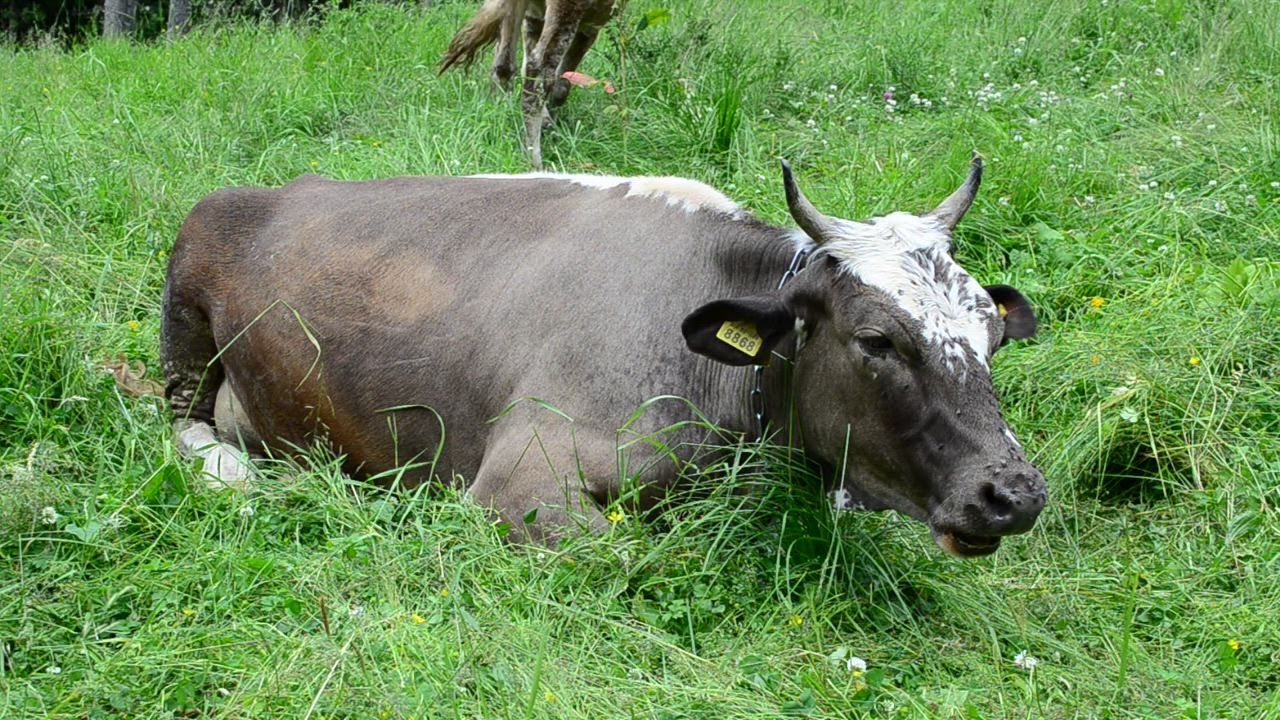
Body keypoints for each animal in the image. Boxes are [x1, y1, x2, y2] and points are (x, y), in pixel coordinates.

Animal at [161, 156, 1047, 556]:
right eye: (877, 341)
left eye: (992, 334)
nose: (1015, 494)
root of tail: (290, 187)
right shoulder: (519, 479)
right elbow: (630, 554)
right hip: (187, 303)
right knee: (183, 423)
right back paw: (239, 473)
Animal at [438, 0, 616, 168]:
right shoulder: (593, 21)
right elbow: (562, 83)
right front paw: (552, 125)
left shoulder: (532, 18)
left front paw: (547, 122)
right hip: (567, 10)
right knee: (539, 70)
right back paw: (535, 161)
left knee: (504, 64)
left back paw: (500, 116)